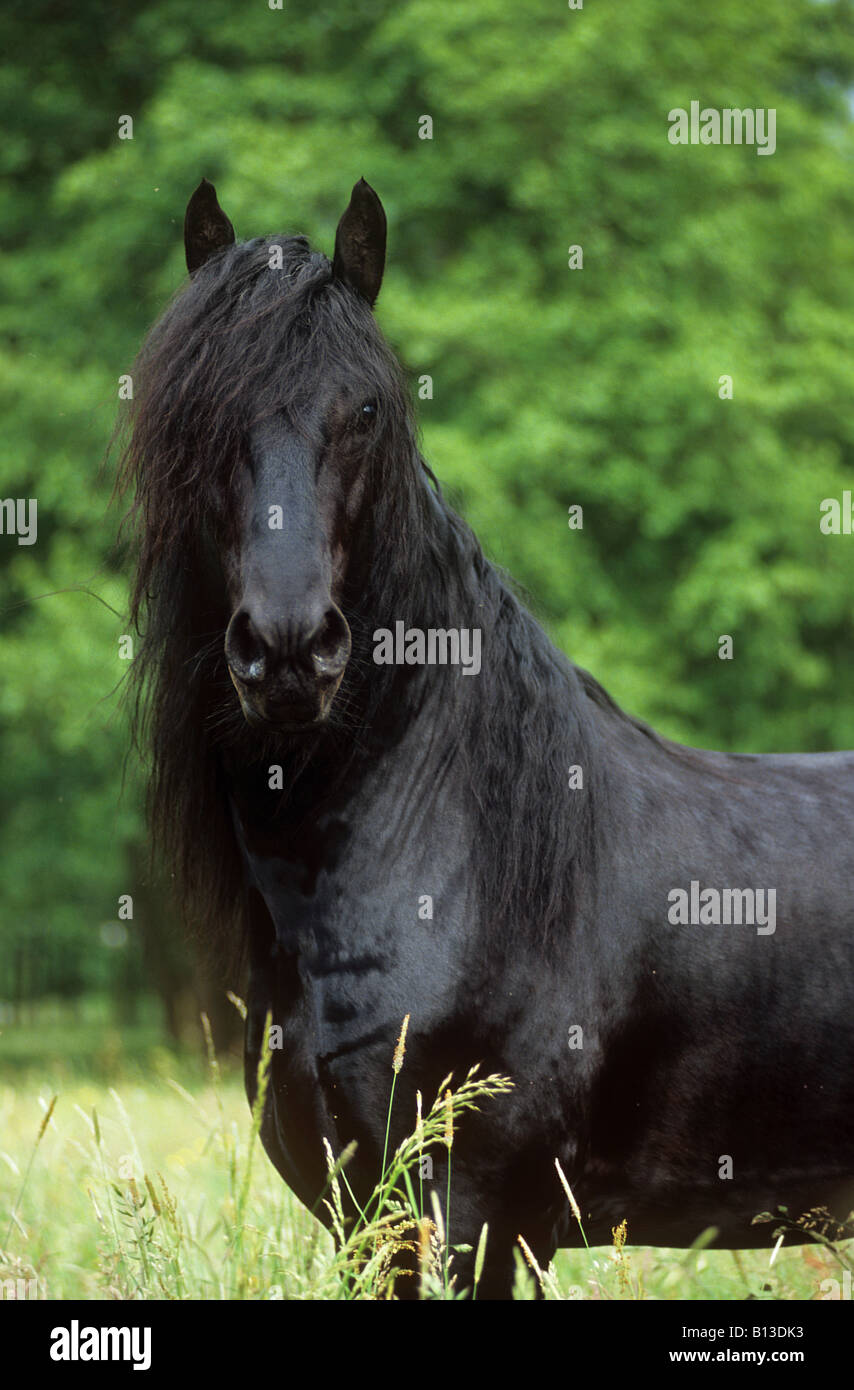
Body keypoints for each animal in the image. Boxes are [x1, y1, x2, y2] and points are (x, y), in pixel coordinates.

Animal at [119, 176, 854, 1298]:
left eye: (366, 411)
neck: (457, 856)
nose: (288, 651)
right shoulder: (363, 1224)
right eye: (200, 413)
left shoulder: (477, 1217)